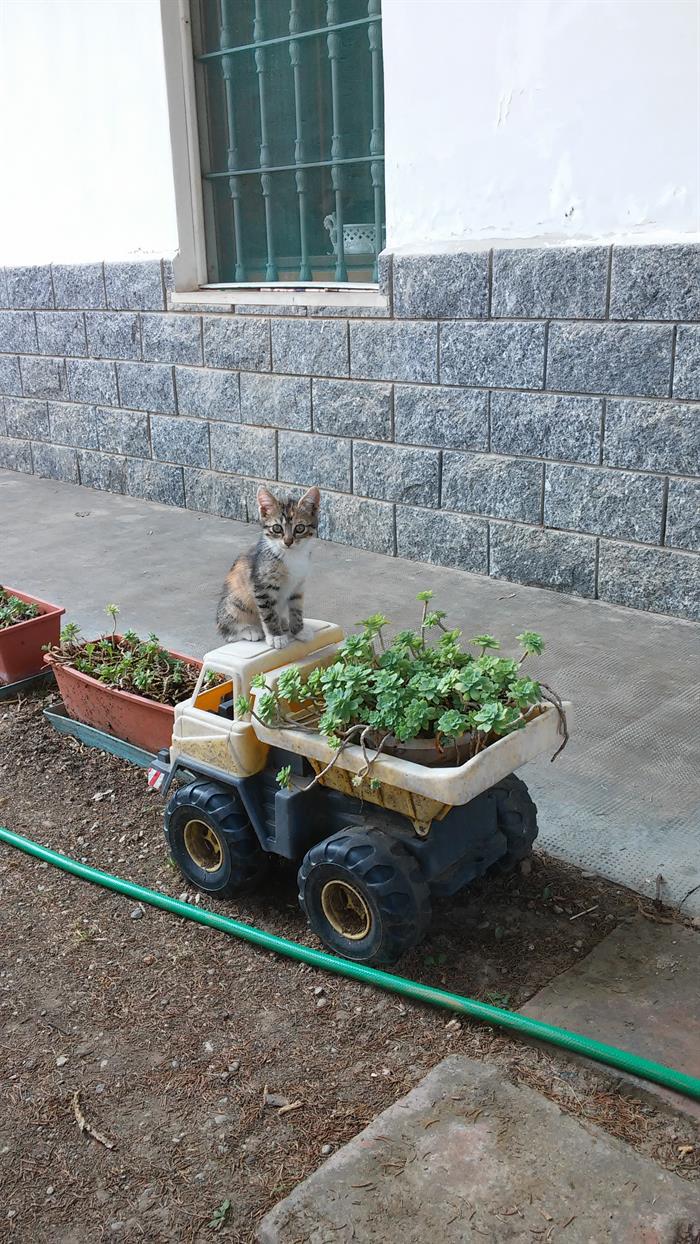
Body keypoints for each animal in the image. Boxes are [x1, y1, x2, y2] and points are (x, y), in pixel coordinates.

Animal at [216, 482, 320, 646]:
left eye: (300, 528)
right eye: (277, 528)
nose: (288, 542)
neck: (292, 555)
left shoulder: (298, 585)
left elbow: (296, 609)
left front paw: (299, 631)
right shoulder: (261, 586)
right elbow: (268, 613)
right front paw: (276, 636)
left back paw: (283, 622)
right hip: (235, 602)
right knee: (227, 631)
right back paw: (250, 630)